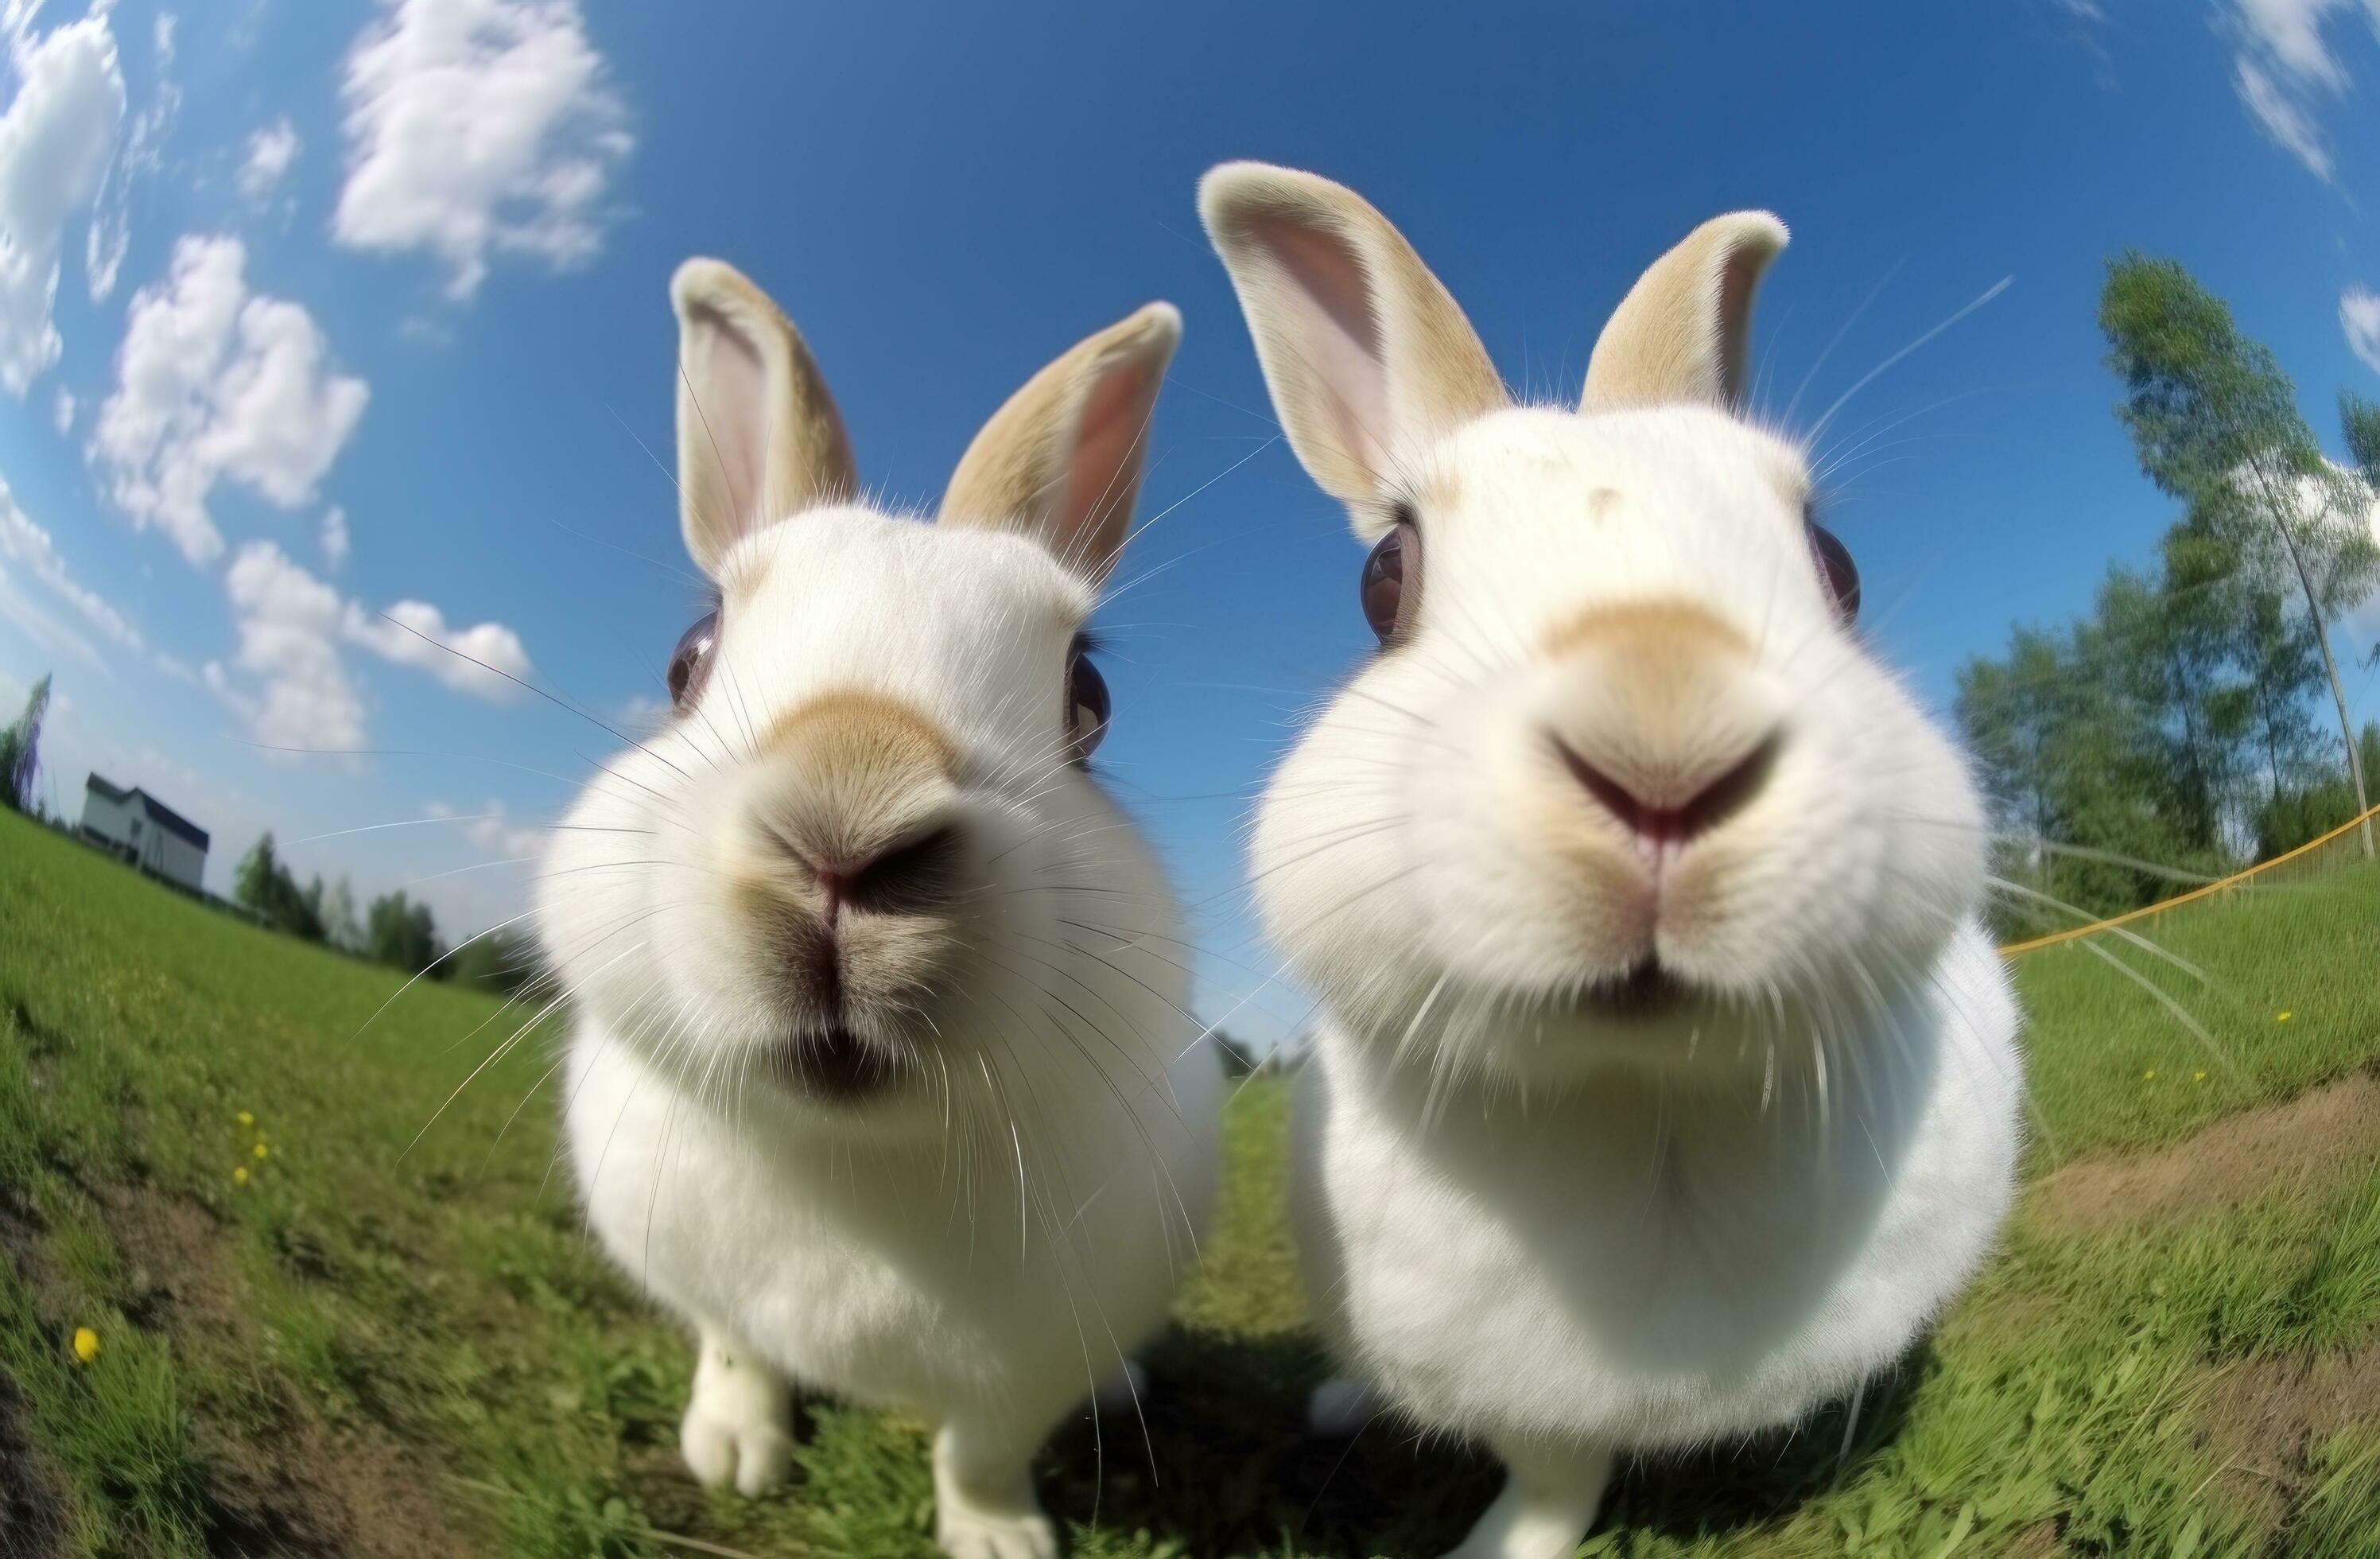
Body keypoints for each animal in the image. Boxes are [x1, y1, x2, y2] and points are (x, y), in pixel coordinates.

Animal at [538, 256, 1222, 1559]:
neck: (843, 1160)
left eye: (1090, 699)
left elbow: (979, 1454)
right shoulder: (708, 1295)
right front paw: (734, 1456)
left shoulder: (1025, 1371)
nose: (847, 830)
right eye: (688, 655)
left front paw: (1000, 1540)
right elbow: (736, 1352)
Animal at [1199, 162, 2024, 1559]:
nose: (1663, 743)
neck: (1652, 1101)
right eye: (1383, 579)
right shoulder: (1521, 1404)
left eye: (1838, 566)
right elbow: (1552, 1477)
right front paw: (1496, 1549)